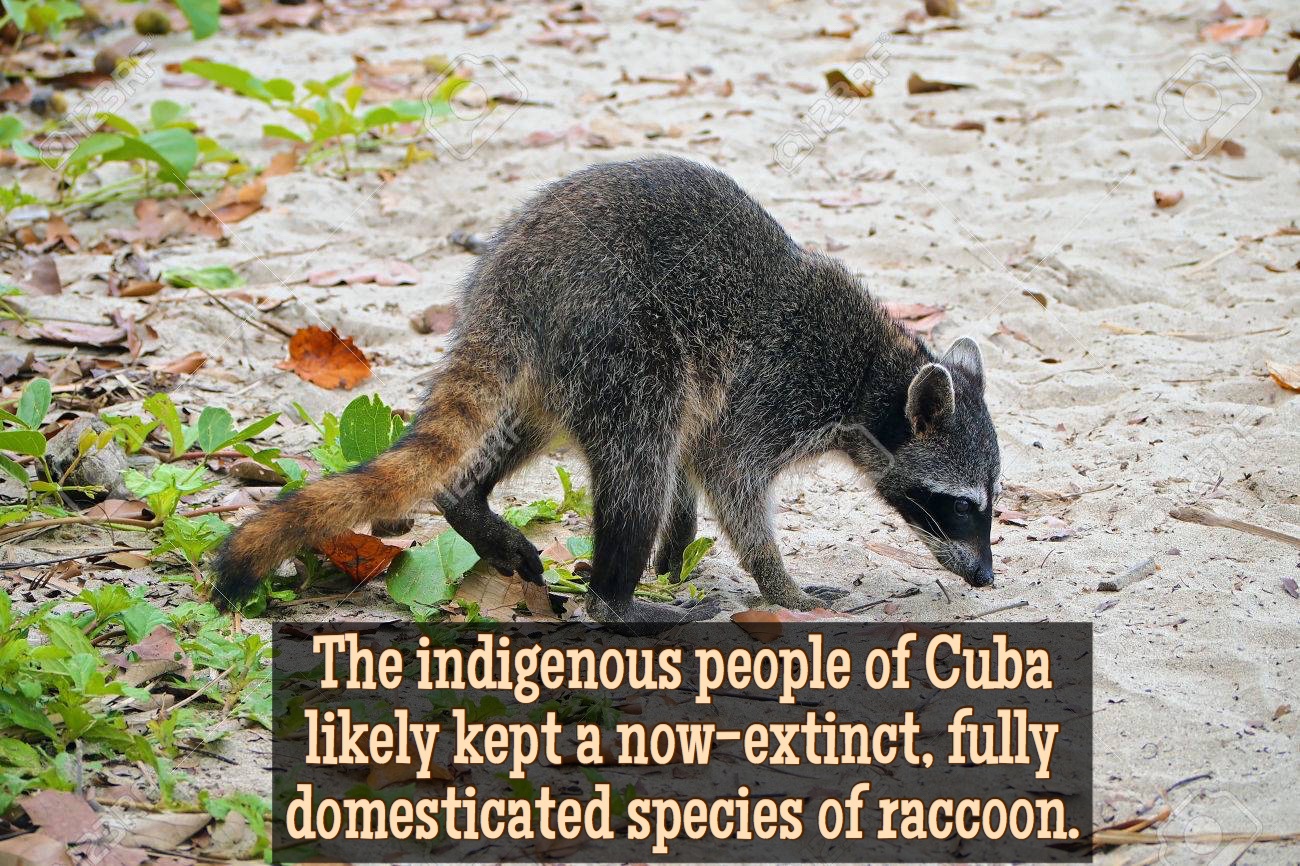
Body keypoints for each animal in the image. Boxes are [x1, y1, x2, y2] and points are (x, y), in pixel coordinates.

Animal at [212, 156, 1001, 631]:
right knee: (639, 462)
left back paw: (468, 501)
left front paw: (678, 547)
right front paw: (780, 584)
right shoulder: (776, 392)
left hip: (557, 361)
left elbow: (694, 462)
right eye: (963, 506)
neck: (876, 380)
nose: (988, 578)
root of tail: (508, 273)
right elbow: (728, 475)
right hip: (616, 332)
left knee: (526, 429)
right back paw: (616, 600)